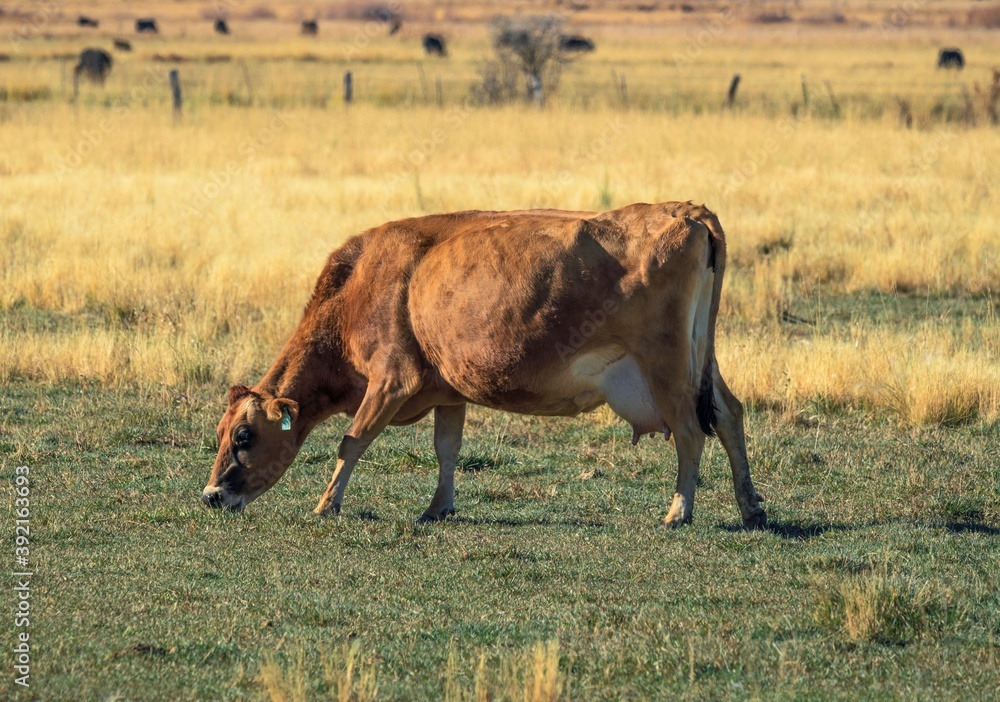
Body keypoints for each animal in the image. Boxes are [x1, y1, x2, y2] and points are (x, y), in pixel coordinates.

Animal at [201, 202, 767, 530]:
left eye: (245, 436)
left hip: (666, 364)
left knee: (692, 432)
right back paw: (751, 506)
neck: (358, 285)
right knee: (729, 415)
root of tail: (687, 211)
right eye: (220, 432)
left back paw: (679, 511)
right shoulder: (447, 390)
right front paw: (438, 507)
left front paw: (326, 504)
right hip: (700, 359)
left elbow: (352, 440)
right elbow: (447, 449)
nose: (209, 495)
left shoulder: (392, 379)